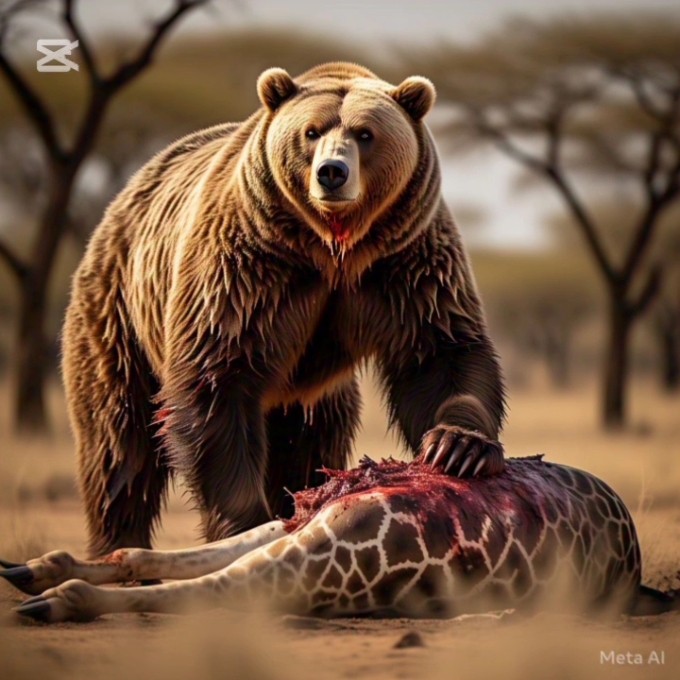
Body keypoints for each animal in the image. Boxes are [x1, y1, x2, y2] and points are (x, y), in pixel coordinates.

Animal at [62, 62, 506, 557]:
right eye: (311, 131)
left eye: (365, 133)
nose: (332, 172)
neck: (333, 246)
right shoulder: (246, 269)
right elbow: (216, 379)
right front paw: (245, 523)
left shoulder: (408, 263)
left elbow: (440, 352)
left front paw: (457, 447)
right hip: (119, 310)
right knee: (119, 442)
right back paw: (115, 540)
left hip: (315, 394)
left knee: (309, 442)